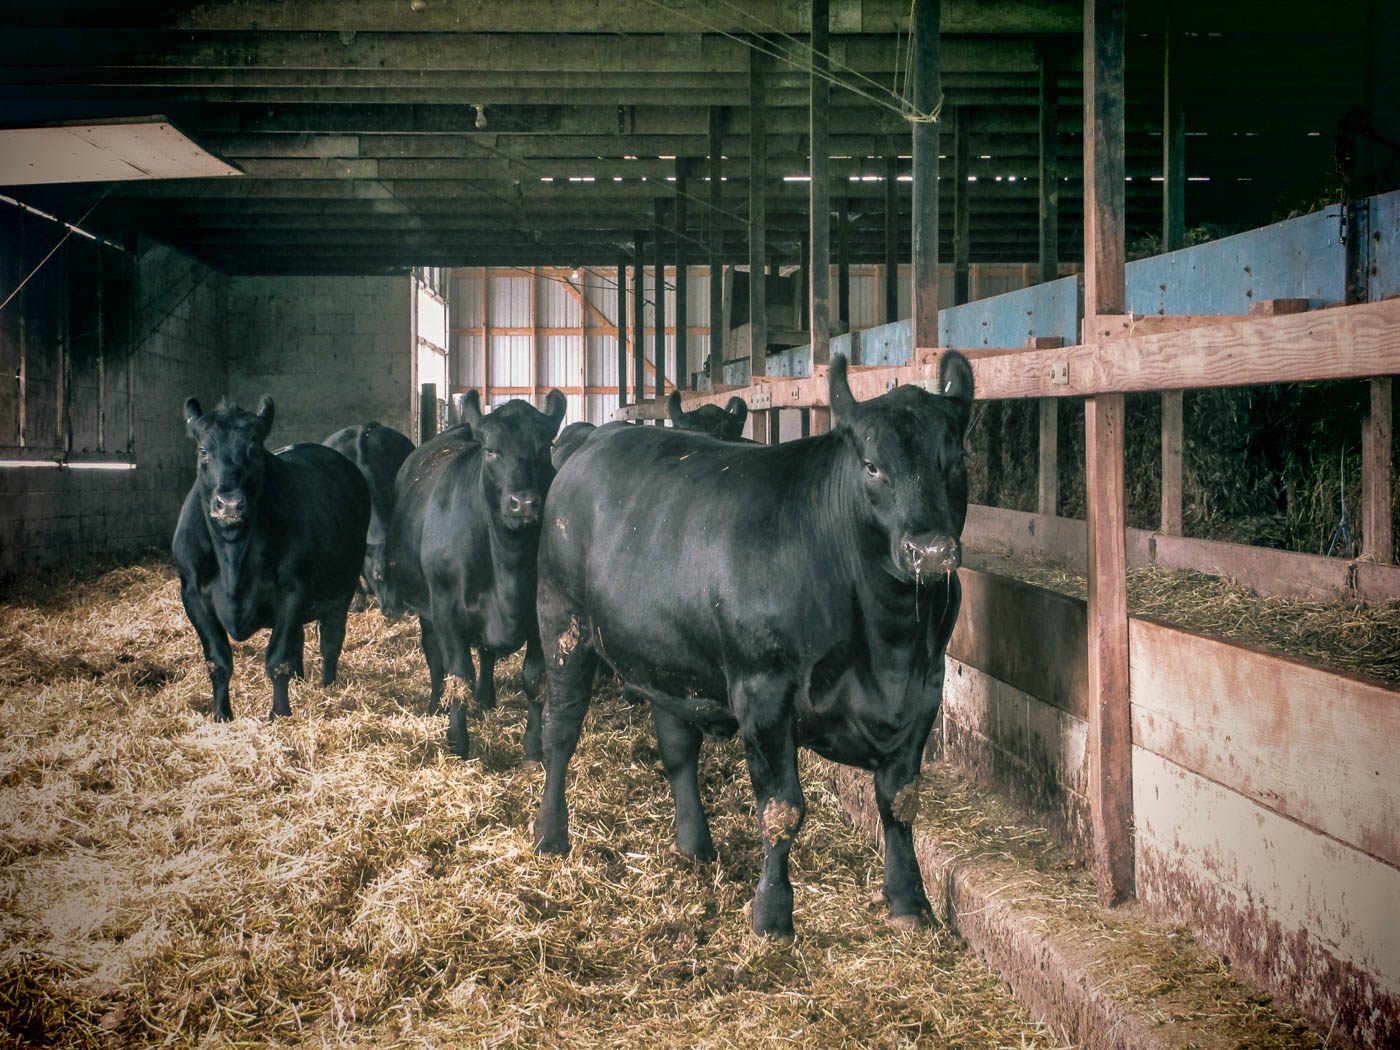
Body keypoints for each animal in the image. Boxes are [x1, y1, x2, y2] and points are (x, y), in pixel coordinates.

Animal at [173, 396, 371, 722]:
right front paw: (221, 714)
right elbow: (218, 661)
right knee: (300, 640)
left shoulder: (293, 591)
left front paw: (280, 712)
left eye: (254, 449)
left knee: (330, 641)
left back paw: (327, 685)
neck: (232, 555)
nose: (229, 503)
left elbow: (278, 659)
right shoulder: (192, 595)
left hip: (342, 588)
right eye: (203, 450)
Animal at [380, 389, 566, 759]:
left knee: (486, 653)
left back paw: (486, 697)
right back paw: (436, 703)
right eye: (492, 450)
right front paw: (457, 741)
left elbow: (533, 678)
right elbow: (459, 674)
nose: (524, 503)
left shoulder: (541, 612)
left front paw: (533, 747)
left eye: (544, 447)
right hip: (427, 607)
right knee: (434, 655)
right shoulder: (446, 609)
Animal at [532, 352, 974, 942]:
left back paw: (693, 844)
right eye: (872, 466)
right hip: (563, 622)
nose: (931, 552)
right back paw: (550, 834)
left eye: (956, 460)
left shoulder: (925, 689)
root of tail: (594, 442)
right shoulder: (761, 689)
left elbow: (900, 800)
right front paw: (772, 915)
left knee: (677, 745)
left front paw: (908, 901)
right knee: (560, 728)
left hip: (665, 656)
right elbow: (781, 809)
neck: (888, 639)